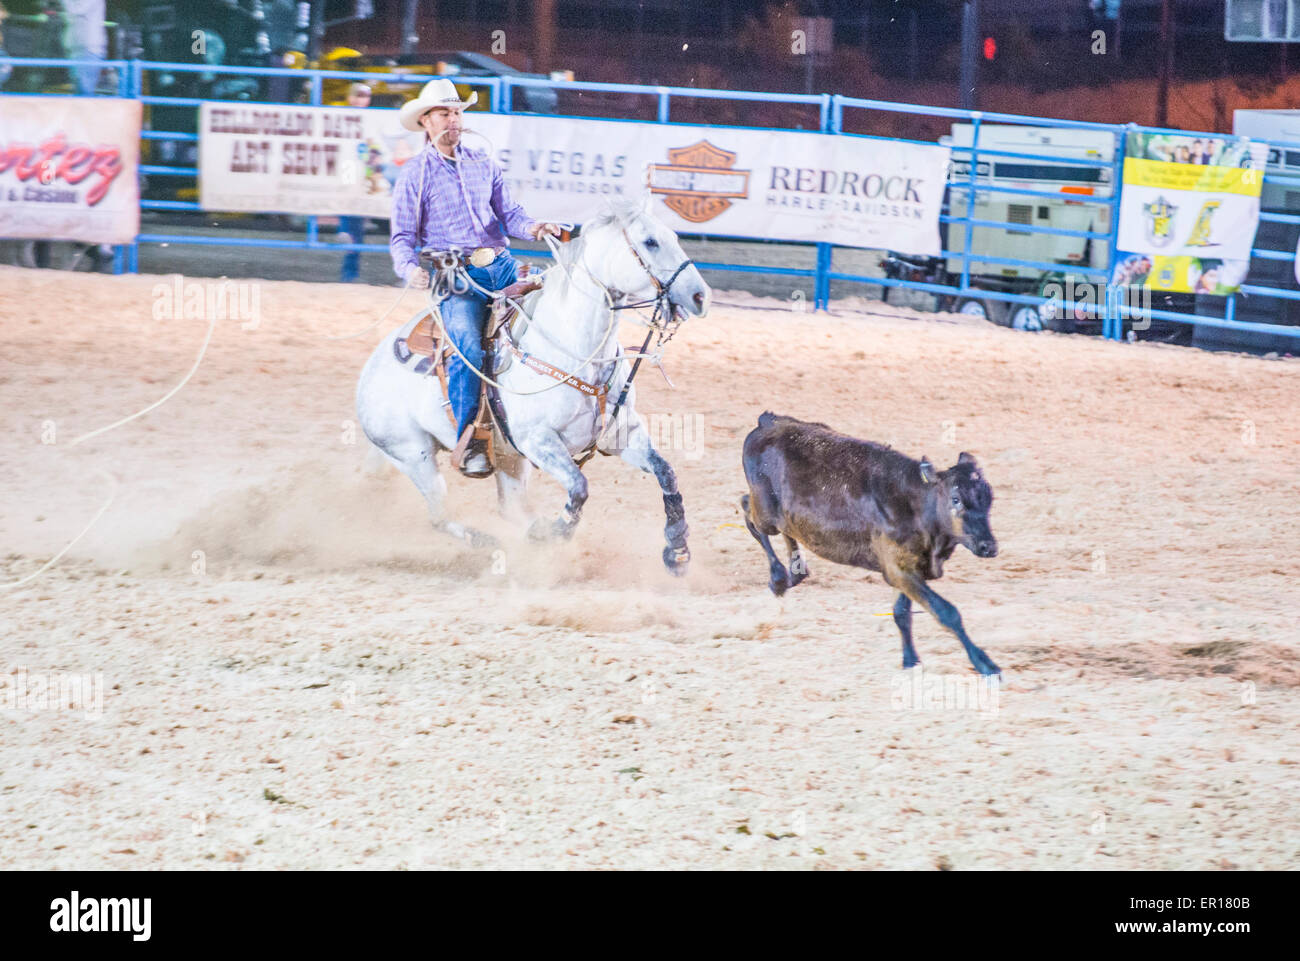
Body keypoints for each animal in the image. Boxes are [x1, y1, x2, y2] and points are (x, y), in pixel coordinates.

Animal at [740, 412, 1001, 677]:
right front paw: (984, 663)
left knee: (784, 530)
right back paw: (778, 578)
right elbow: (946, 612)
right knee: (747, 510)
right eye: (955, 499)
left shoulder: (907, 568)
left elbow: (902, 613)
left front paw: (910, 659)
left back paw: (795, 573)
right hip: (765, 511)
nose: (988, 546)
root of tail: (770, 421)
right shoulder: (899, 567)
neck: (915, 506)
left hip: (784, 517)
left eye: (989, 499)